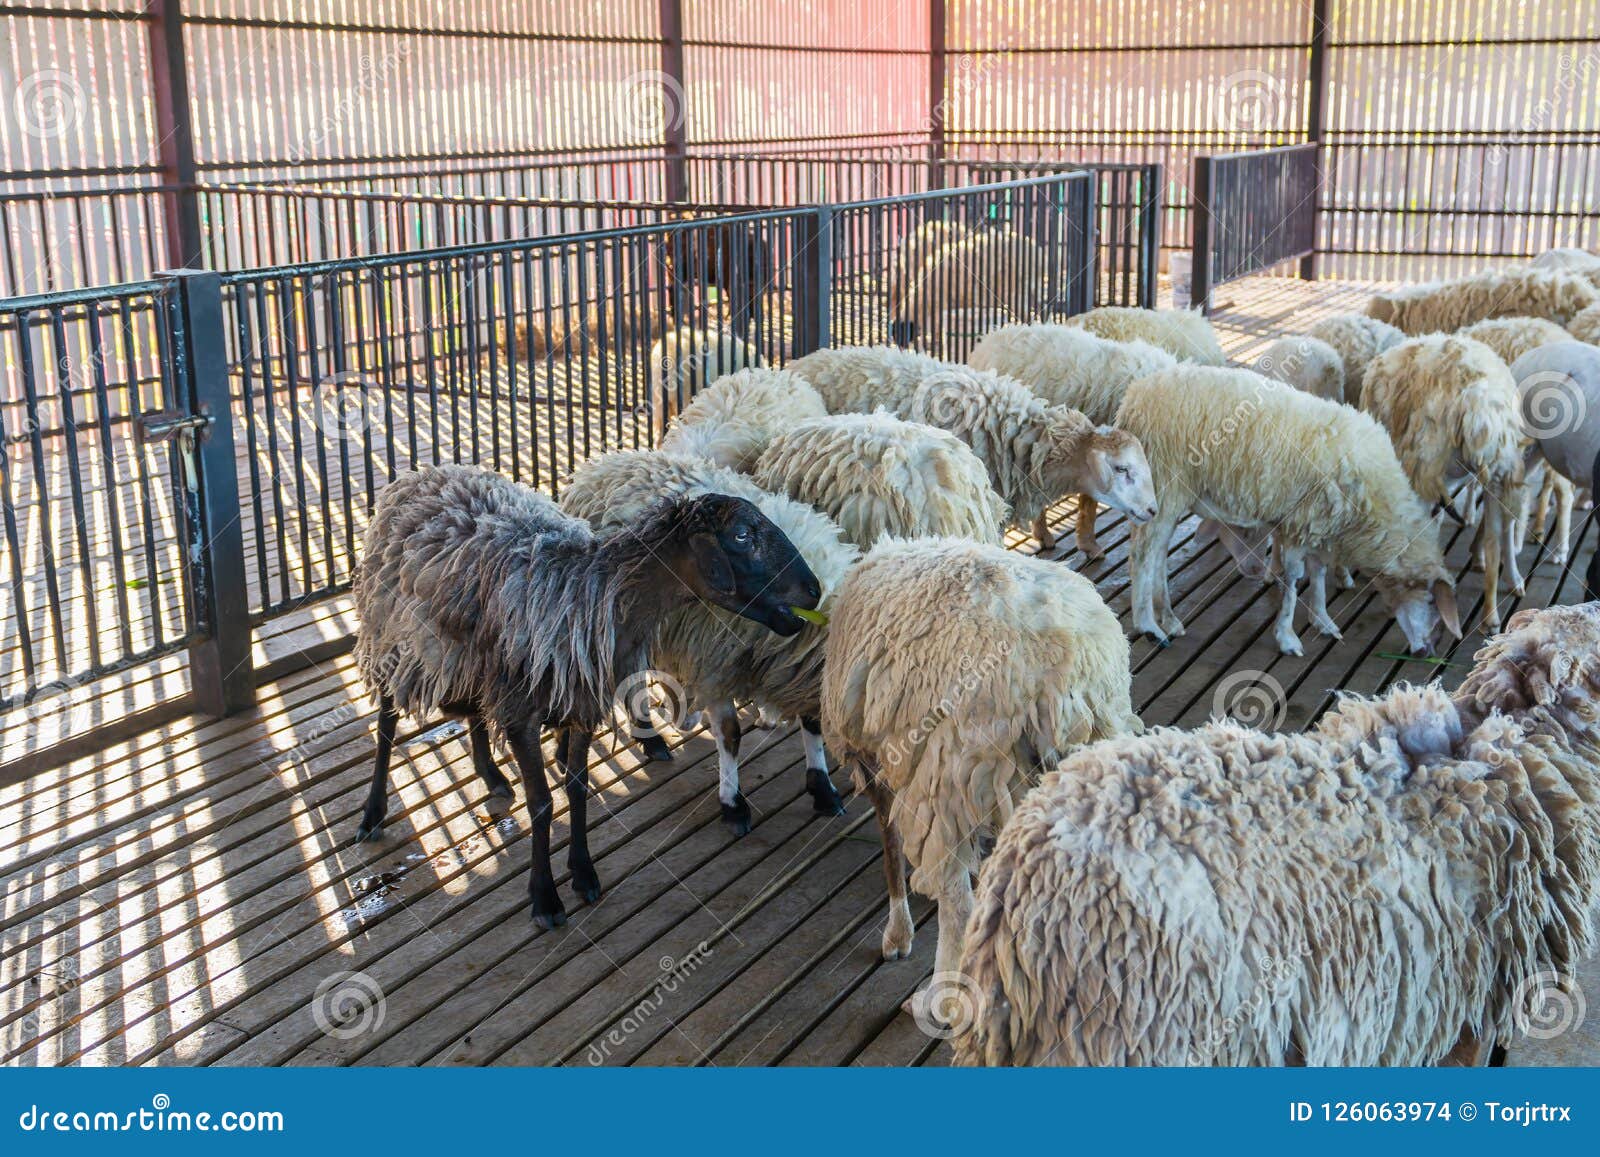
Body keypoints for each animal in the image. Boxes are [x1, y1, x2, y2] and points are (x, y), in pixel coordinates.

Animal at [352, 463, 820, 928]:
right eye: (742, 535)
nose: (814, 590)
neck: (591, 596)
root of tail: (421, 473)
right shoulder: (522, 713)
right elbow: (541, 803)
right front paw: (545, 898)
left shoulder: (581, 705)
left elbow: (576, 788)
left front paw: (583, 873)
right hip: (390, 637)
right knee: (387, 719)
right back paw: (373, 813)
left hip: (470, 657)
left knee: (474, 710)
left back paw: (491, 775)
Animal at [560, 449, 857, 832]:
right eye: (743, 536)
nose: (813, 591)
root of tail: (602, 463)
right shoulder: (716, 664)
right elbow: (730, 735)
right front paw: (733, 803)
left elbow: (812, 724)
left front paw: (822, 786)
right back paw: (645, 737)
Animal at [820, 536, 1140, 1020]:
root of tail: (1060, 673)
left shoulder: (879, 758)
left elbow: (890, 847)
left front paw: (897, 933)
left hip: (948, 777)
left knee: (956, 903)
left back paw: (940, 999)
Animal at [1115, 366, 1462, 656]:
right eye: (1431, 600)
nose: (1428, 651)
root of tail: (1133, 397)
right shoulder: (1301, 522)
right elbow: (1294, 579)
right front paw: (1287, 636)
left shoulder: (1321, 525)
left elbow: (1318, 573)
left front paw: (1323, 620)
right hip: (1161, 487)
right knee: (1142, 557)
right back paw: (1149, 626)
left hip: (1169, 497)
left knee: (1158, 555)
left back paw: (1169, 618)